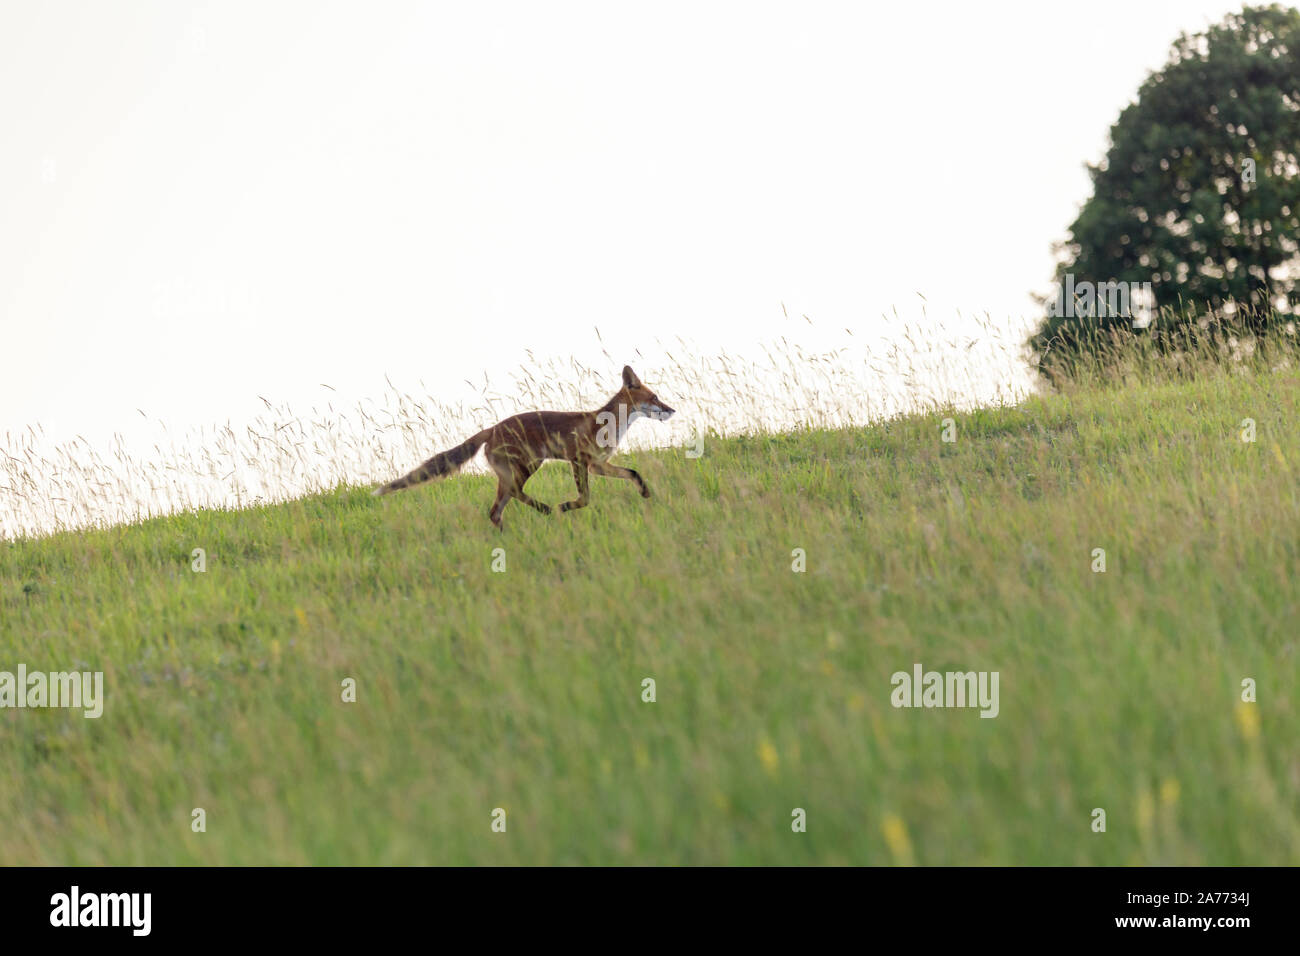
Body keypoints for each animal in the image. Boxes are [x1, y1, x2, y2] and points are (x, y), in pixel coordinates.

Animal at [373, 365, 675, 528]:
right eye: (655, 397)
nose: (672, 410)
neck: (607, 424)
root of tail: (492, 428)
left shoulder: (598, 464)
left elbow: (633, 473)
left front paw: (645, 493)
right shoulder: (579, 460)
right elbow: (585, 499)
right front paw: (565, 506)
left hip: (513, 472)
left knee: (495, 511)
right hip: (528, 465)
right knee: (514, 495)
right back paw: (547, 509)